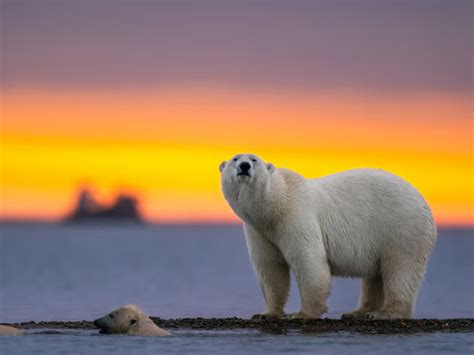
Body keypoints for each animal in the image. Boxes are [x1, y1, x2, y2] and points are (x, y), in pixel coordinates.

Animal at [220, 154, 436, 322]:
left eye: (254, 159)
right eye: (235, 159)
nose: (244, 166)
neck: (274, 205)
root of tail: (424, 203)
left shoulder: (295, 216)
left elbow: (308, 260)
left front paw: (302, 314)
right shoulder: (259, 231)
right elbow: (270, 268)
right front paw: (266, 314)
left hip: (401, 228)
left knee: (401, 269)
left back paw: (385, 313)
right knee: (375, 276)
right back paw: (358, 312)